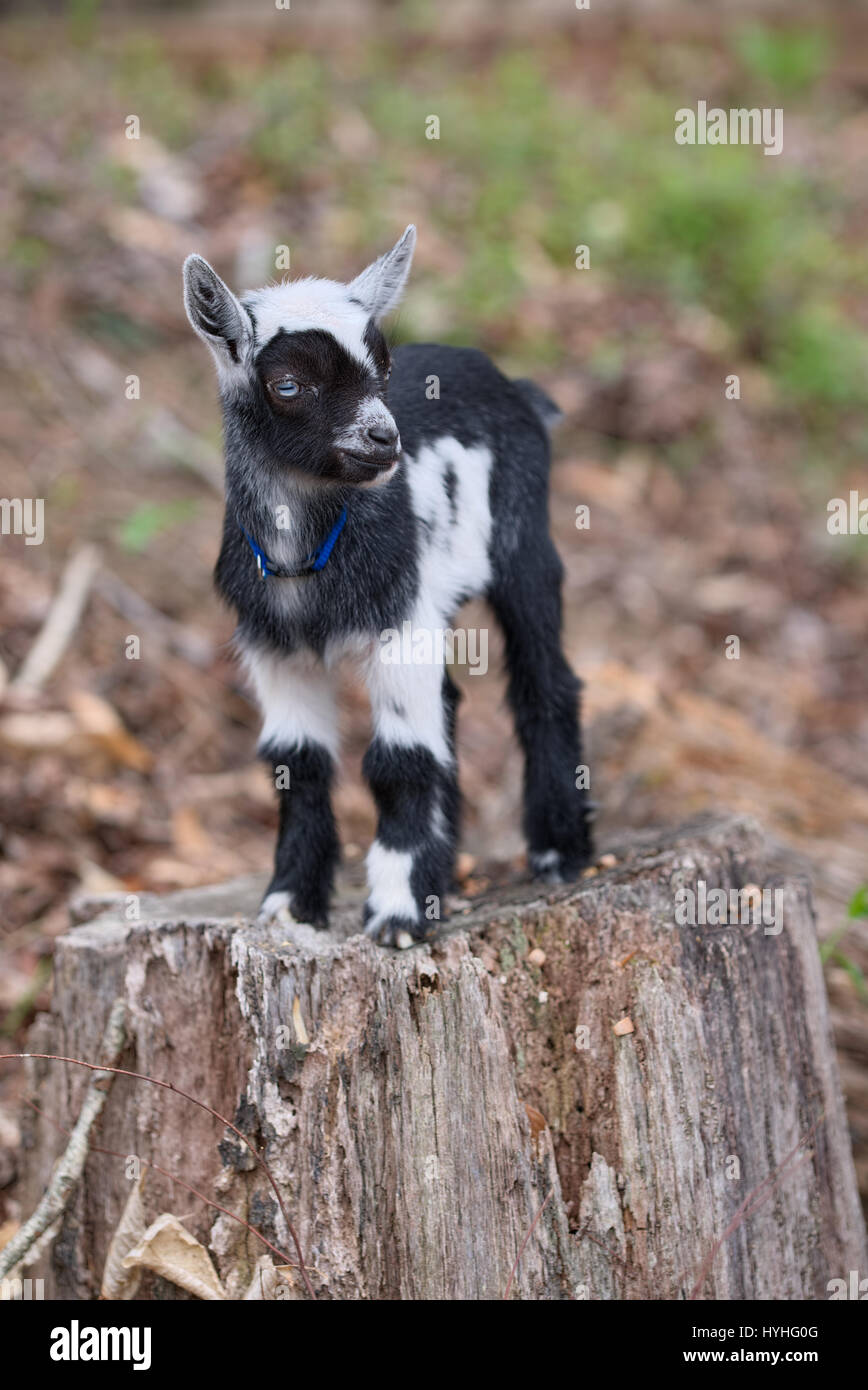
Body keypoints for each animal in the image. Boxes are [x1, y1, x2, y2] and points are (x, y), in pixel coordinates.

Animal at [182, 226, 593, 947]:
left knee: (544, 681)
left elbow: (400, 760)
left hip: (525, 544)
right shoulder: (273, 648)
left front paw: (398, 916)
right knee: (451, 702)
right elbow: (298, 763)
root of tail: (514, 386)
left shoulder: (397, 628)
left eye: (385, 368)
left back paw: (559, 851)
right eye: (288, 384)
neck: (308, 562)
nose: (384, 438)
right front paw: (288, 904)